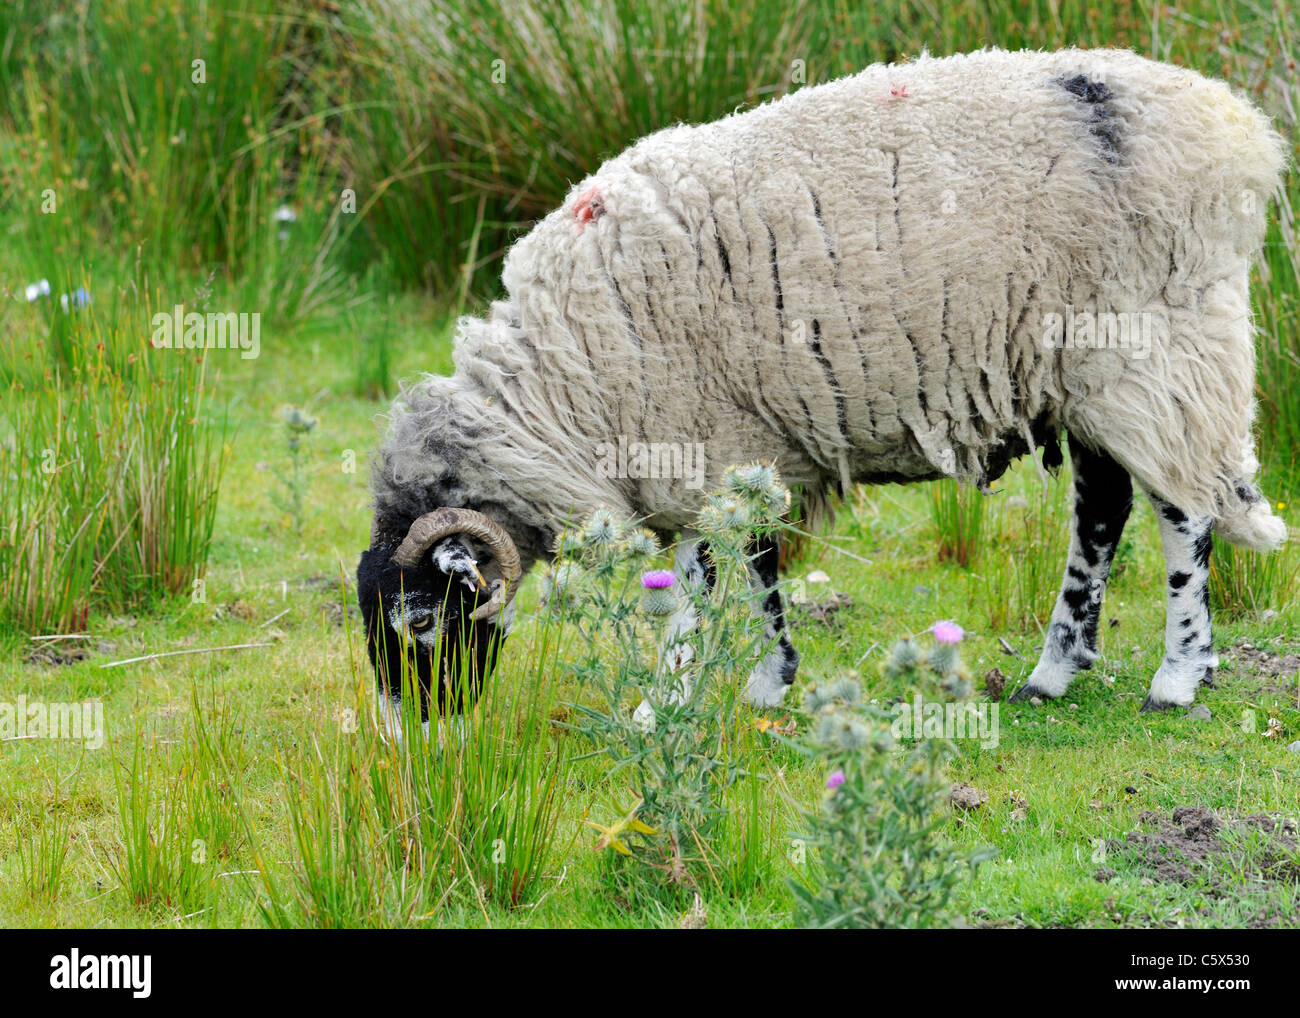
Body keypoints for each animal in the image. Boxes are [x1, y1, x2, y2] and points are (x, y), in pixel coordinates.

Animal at [357, 46, 1289, 735]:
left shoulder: (697, 444)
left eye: (423, 623)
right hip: (1083, 372)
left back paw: (1178, 675)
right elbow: (761, 570)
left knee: (1183, 511)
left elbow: (697, 588)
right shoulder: (744, 450)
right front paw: (771, 681)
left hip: (1154, 349)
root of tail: (1241, 132)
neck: (561, 391)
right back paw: (1054, 671)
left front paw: (664, 704)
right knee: (1104, 509)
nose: (414, 741)